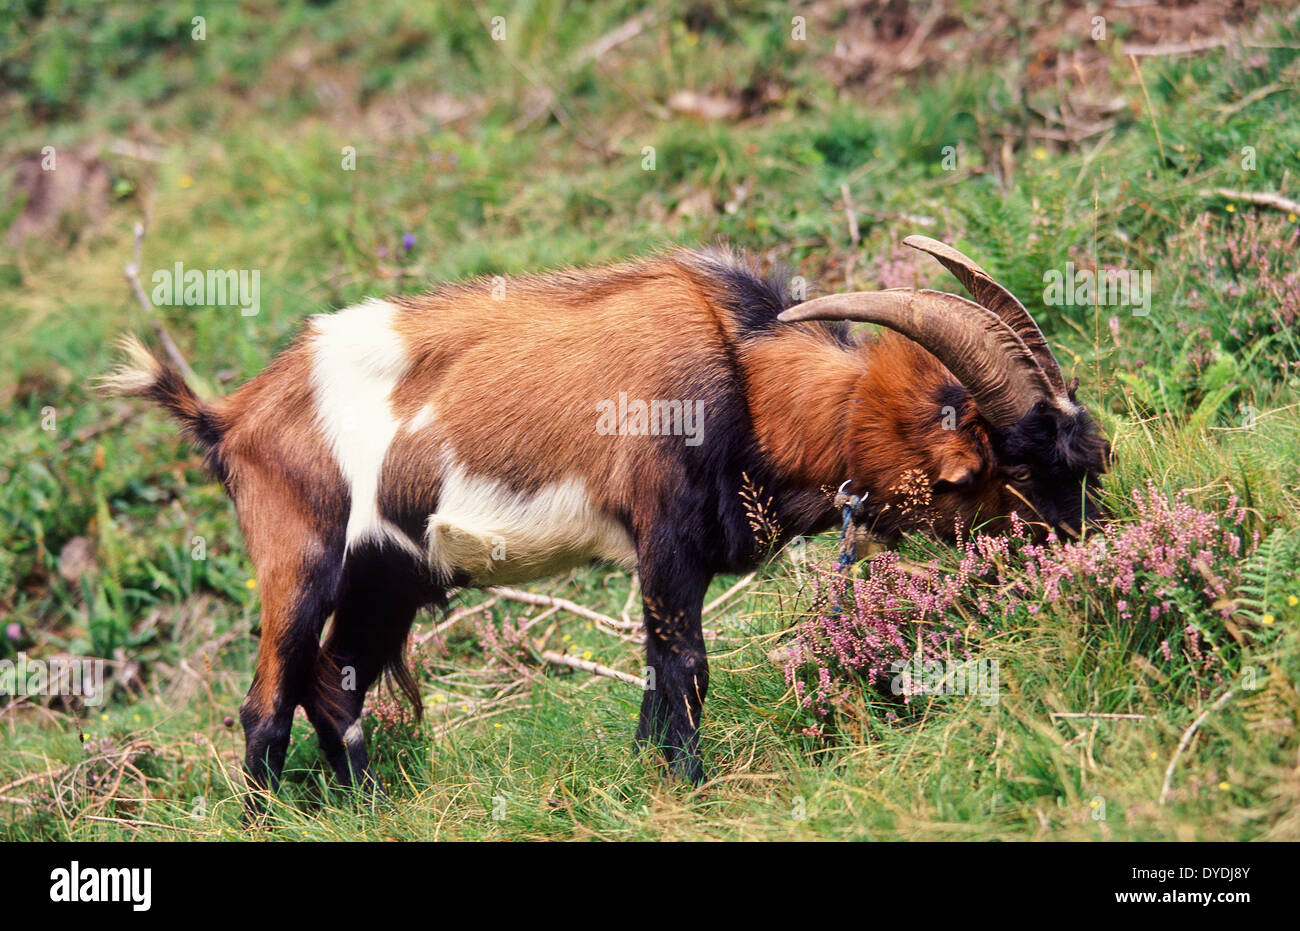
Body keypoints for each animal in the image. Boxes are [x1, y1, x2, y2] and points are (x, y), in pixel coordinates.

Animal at [99, 235, 1109, 792]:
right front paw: (687, 785)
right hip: (301, 556)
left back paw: (366, 809)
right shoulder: (664, 536)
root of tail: (233, 415)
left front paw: (649, 773)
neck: (747, 381)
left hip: (389, 576)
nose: (1085, 546)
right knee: (266, 703)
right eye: (1025, 462)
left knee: (335, 686)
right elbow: (685, 668)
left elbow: (659, 676)